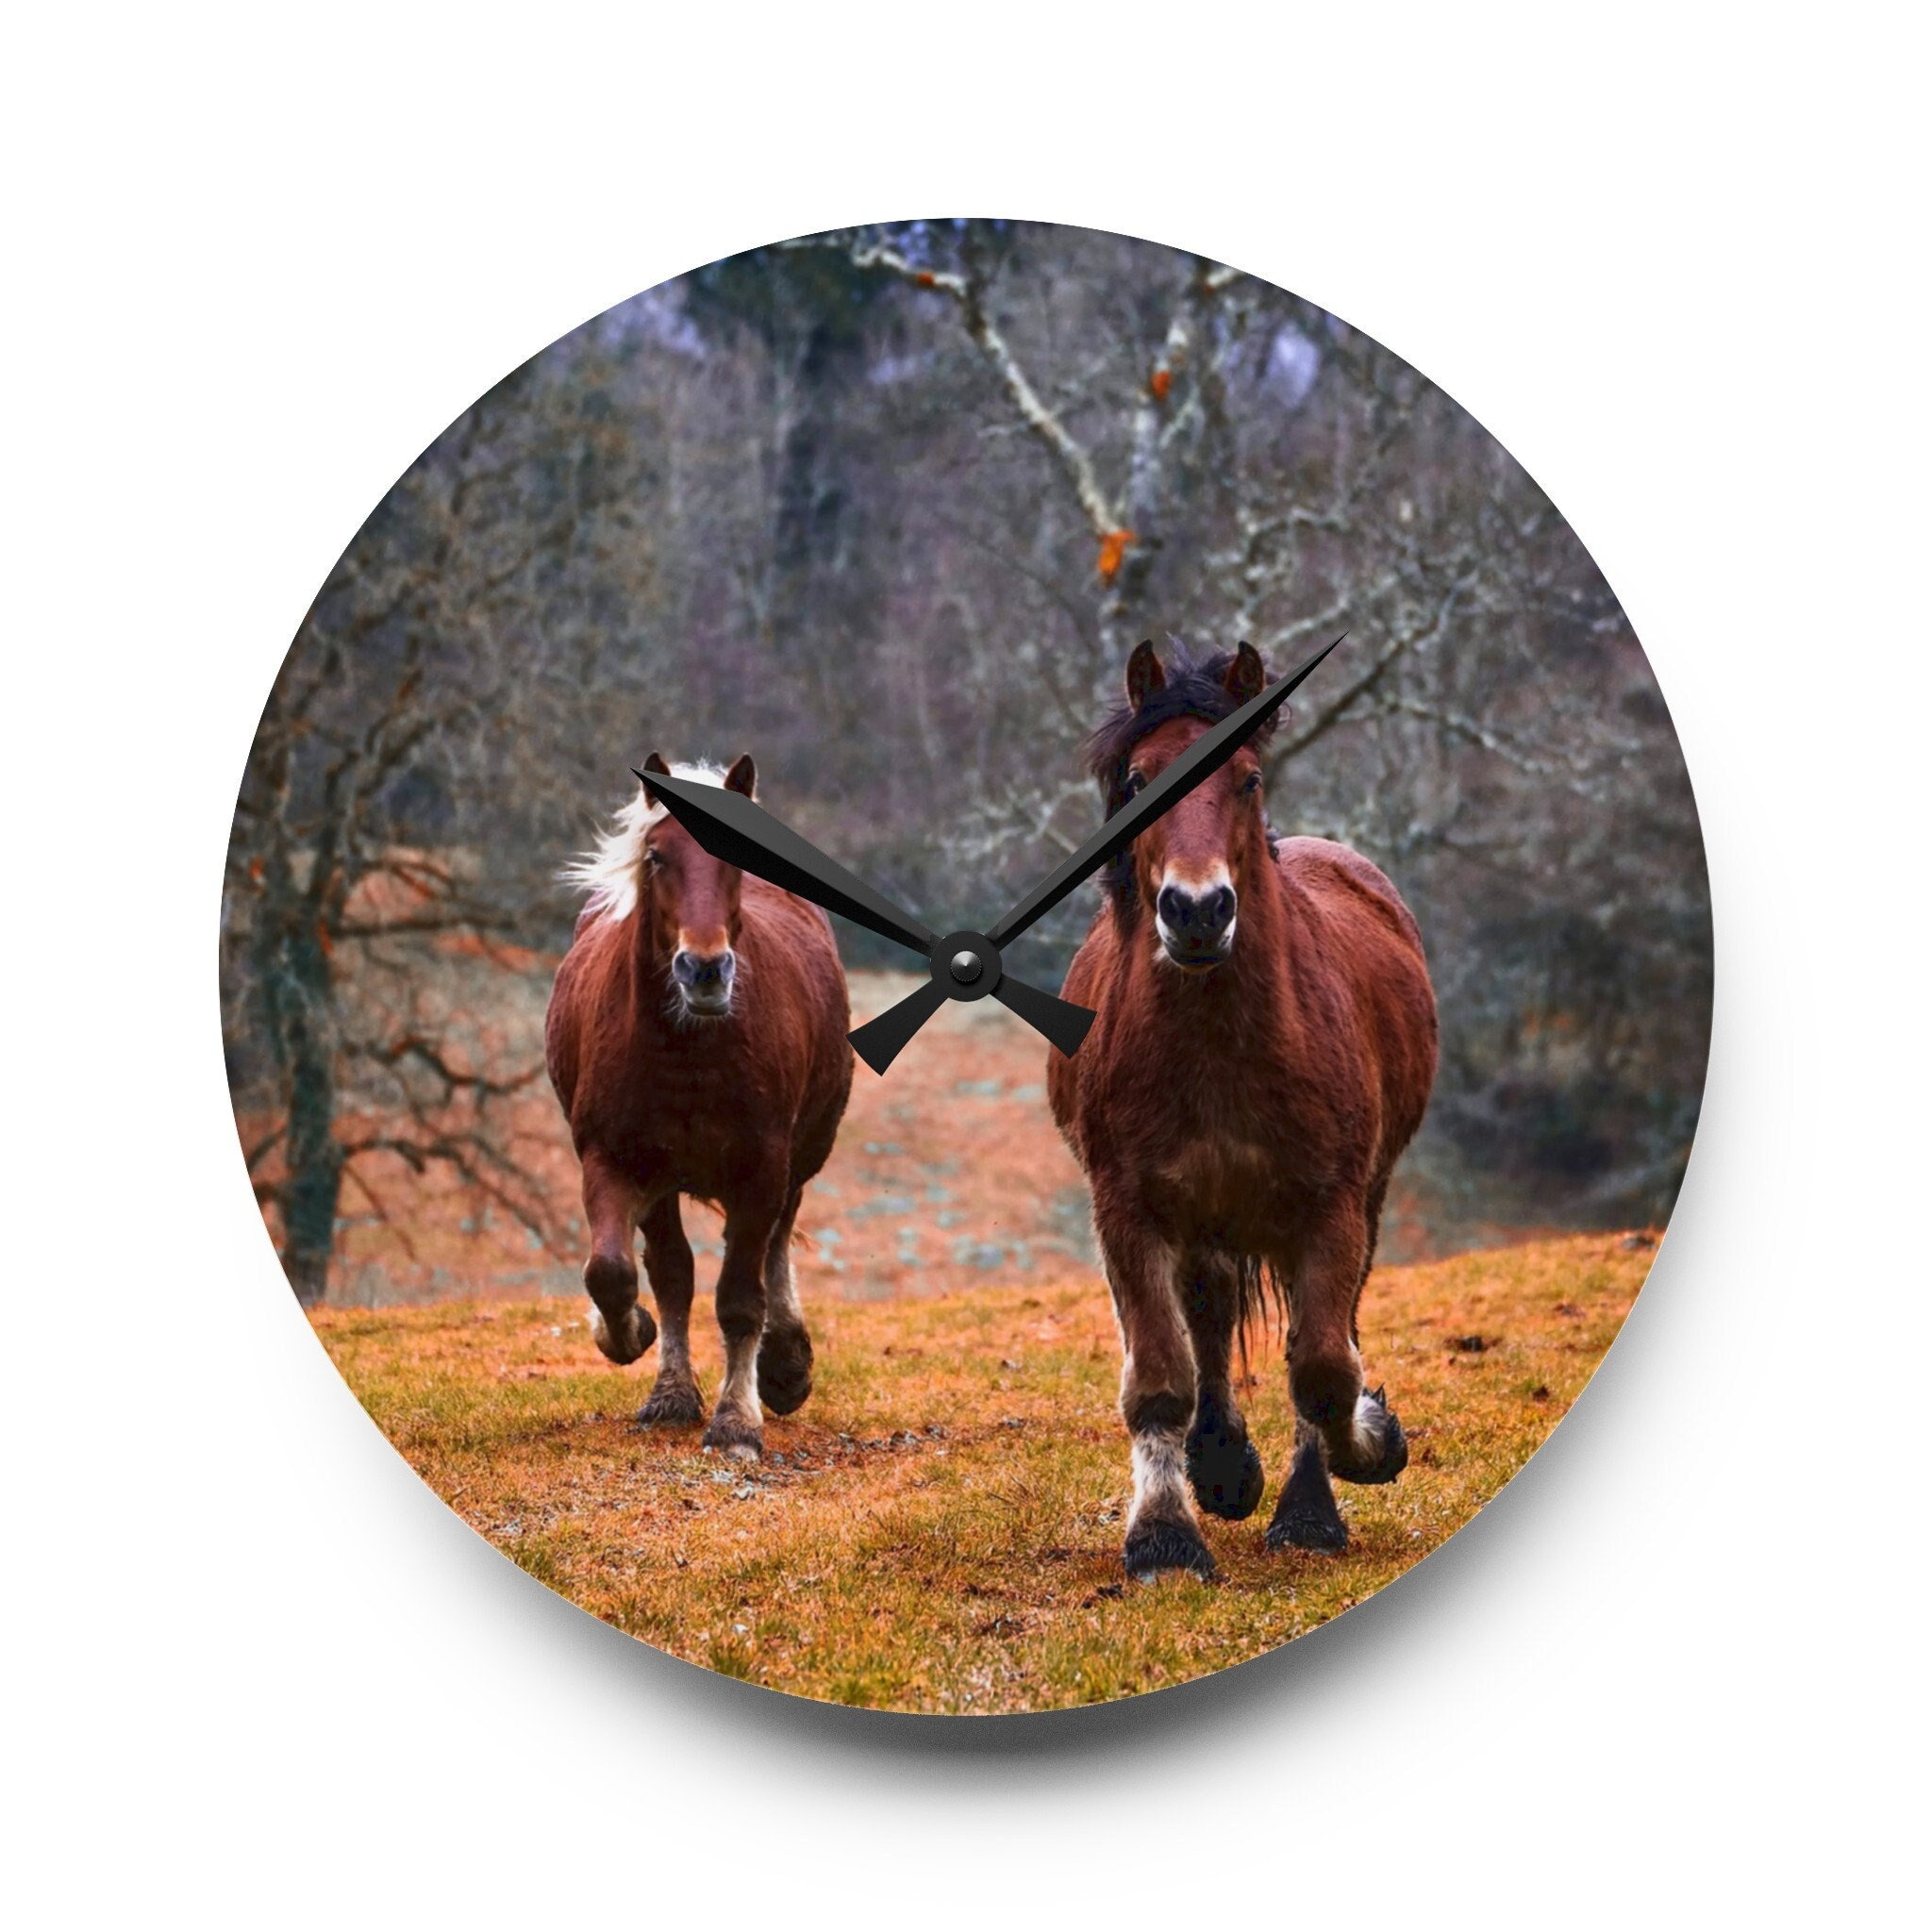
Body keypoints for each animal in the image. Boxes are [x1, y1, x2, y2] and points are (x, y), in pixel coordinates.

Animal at [546, 752, 853, 1460]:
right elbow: (620, 1274)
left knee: (775, 1247)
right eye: (657, 856)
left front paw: (738, 1420)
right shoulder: (615, 1161)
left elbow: (740, 1297)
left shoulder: (762, 1170)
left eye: (738, 858)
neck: (688, 1051)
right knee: (672, 1270)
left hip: (801, 1157)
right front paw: (634, 1344)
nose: (704, 971)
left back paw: (785, 1365)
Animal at [1048, 642, 1438, 1578]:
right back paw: (1221, 1464)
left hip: (1353, 1202)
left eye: (1250, 778)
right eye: (1139, 779)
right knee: (1211, 1319)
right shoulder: (1128, 1209)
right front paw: (1164, 1536)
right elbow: (1161, 1376)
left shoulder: (1331, 1207)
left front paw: (1353, 1465)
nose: (1197, 911)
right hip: (1204, 1220)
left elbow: (1324, 1368)